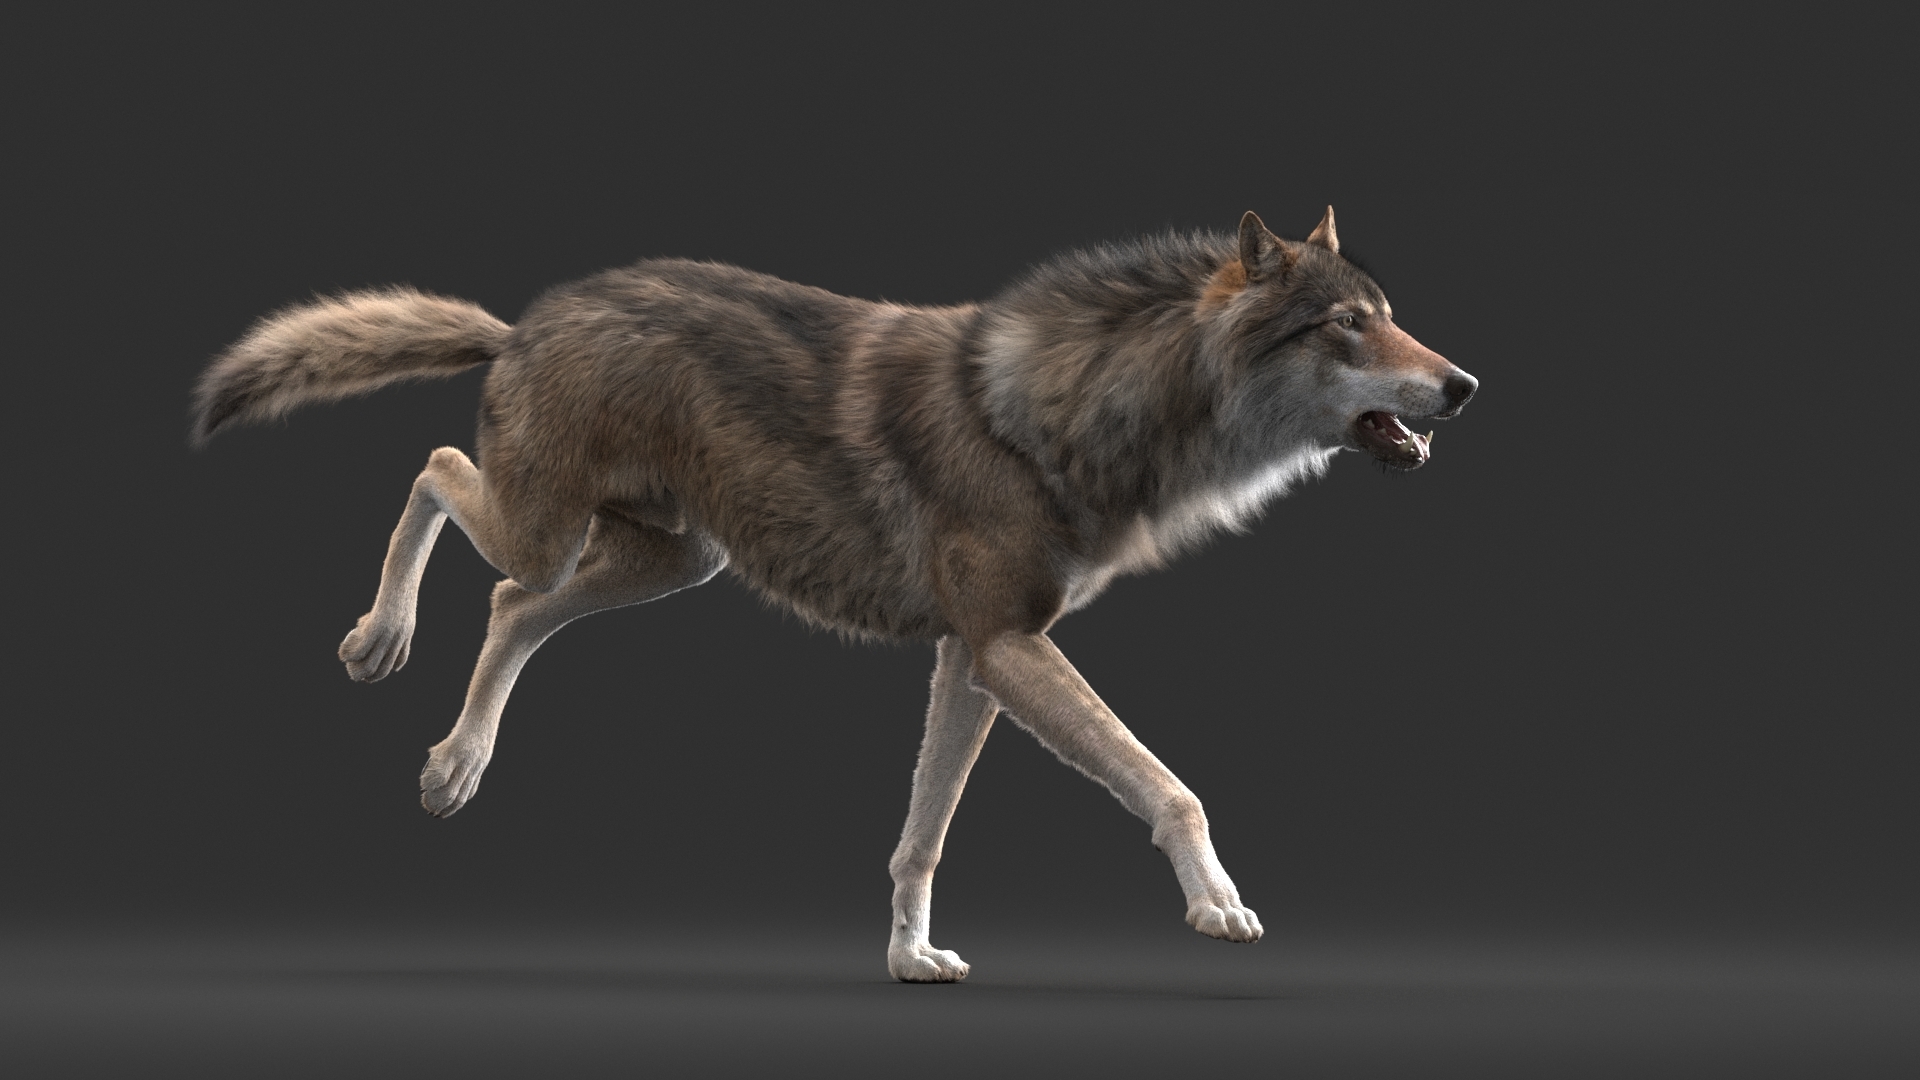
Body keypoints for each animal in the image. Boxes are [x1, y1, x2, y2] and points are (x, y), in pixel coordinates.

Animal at [192, 208, 1476, 981]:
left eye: (1392, 315)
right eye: (1350, 325)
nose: (1464, 384)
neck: (1069, 416)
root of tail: (520, 323)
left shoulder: (978, 654)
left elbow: (922, 838)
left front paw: (911, 958)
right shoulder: (1008, 645)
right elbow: (1172, 791)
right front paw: (1218, 908)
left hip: (665, 566)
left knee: (508, 605)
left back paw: (453, 770)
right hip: (559, 534)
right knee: (436, 475)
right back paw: (380, 646)